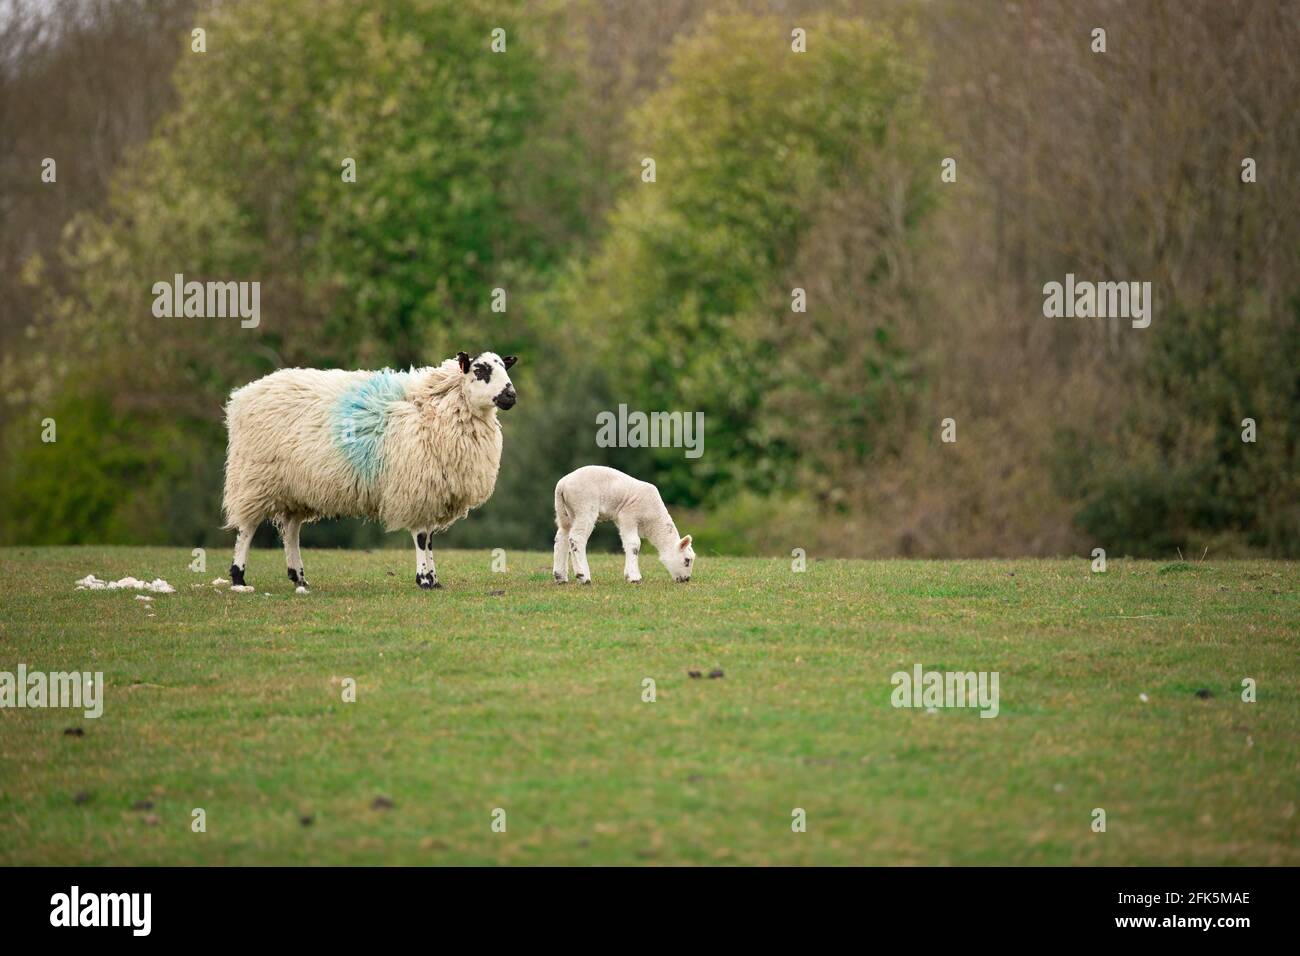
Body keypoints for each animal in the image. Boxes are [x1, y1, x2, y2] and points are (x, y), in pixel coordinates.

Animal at [221, 350, 517, 591]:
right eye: (480, 370)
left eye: (504, 367)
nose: (511, 395)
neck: (436, 406)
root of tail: (241, 396)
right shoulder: (415, 486)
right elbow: (422, 537)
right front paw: (424, 580)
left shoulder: (431, 491)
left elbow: (430, 538)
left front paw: (434, 579)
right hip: (254, 478)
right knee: (246, 528)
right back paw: (239, 578)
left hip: (295, 487)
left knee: (291, 530)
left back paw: (299, 577)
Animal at [553, 465, 695, 585]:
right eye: (687, 560)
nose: (686, 579)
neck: (654, 522)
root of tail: (562, 484)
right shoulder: (628, 515)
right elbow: (634, 543)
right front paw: (634, 578)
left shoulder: (622, 520)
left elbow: (628, 543)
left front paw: (628, 575)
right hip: (584, 506)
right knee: (577, 538)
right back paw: (583, 577)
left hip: (567, 511)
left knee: (562, 537)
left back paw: (560, 577)